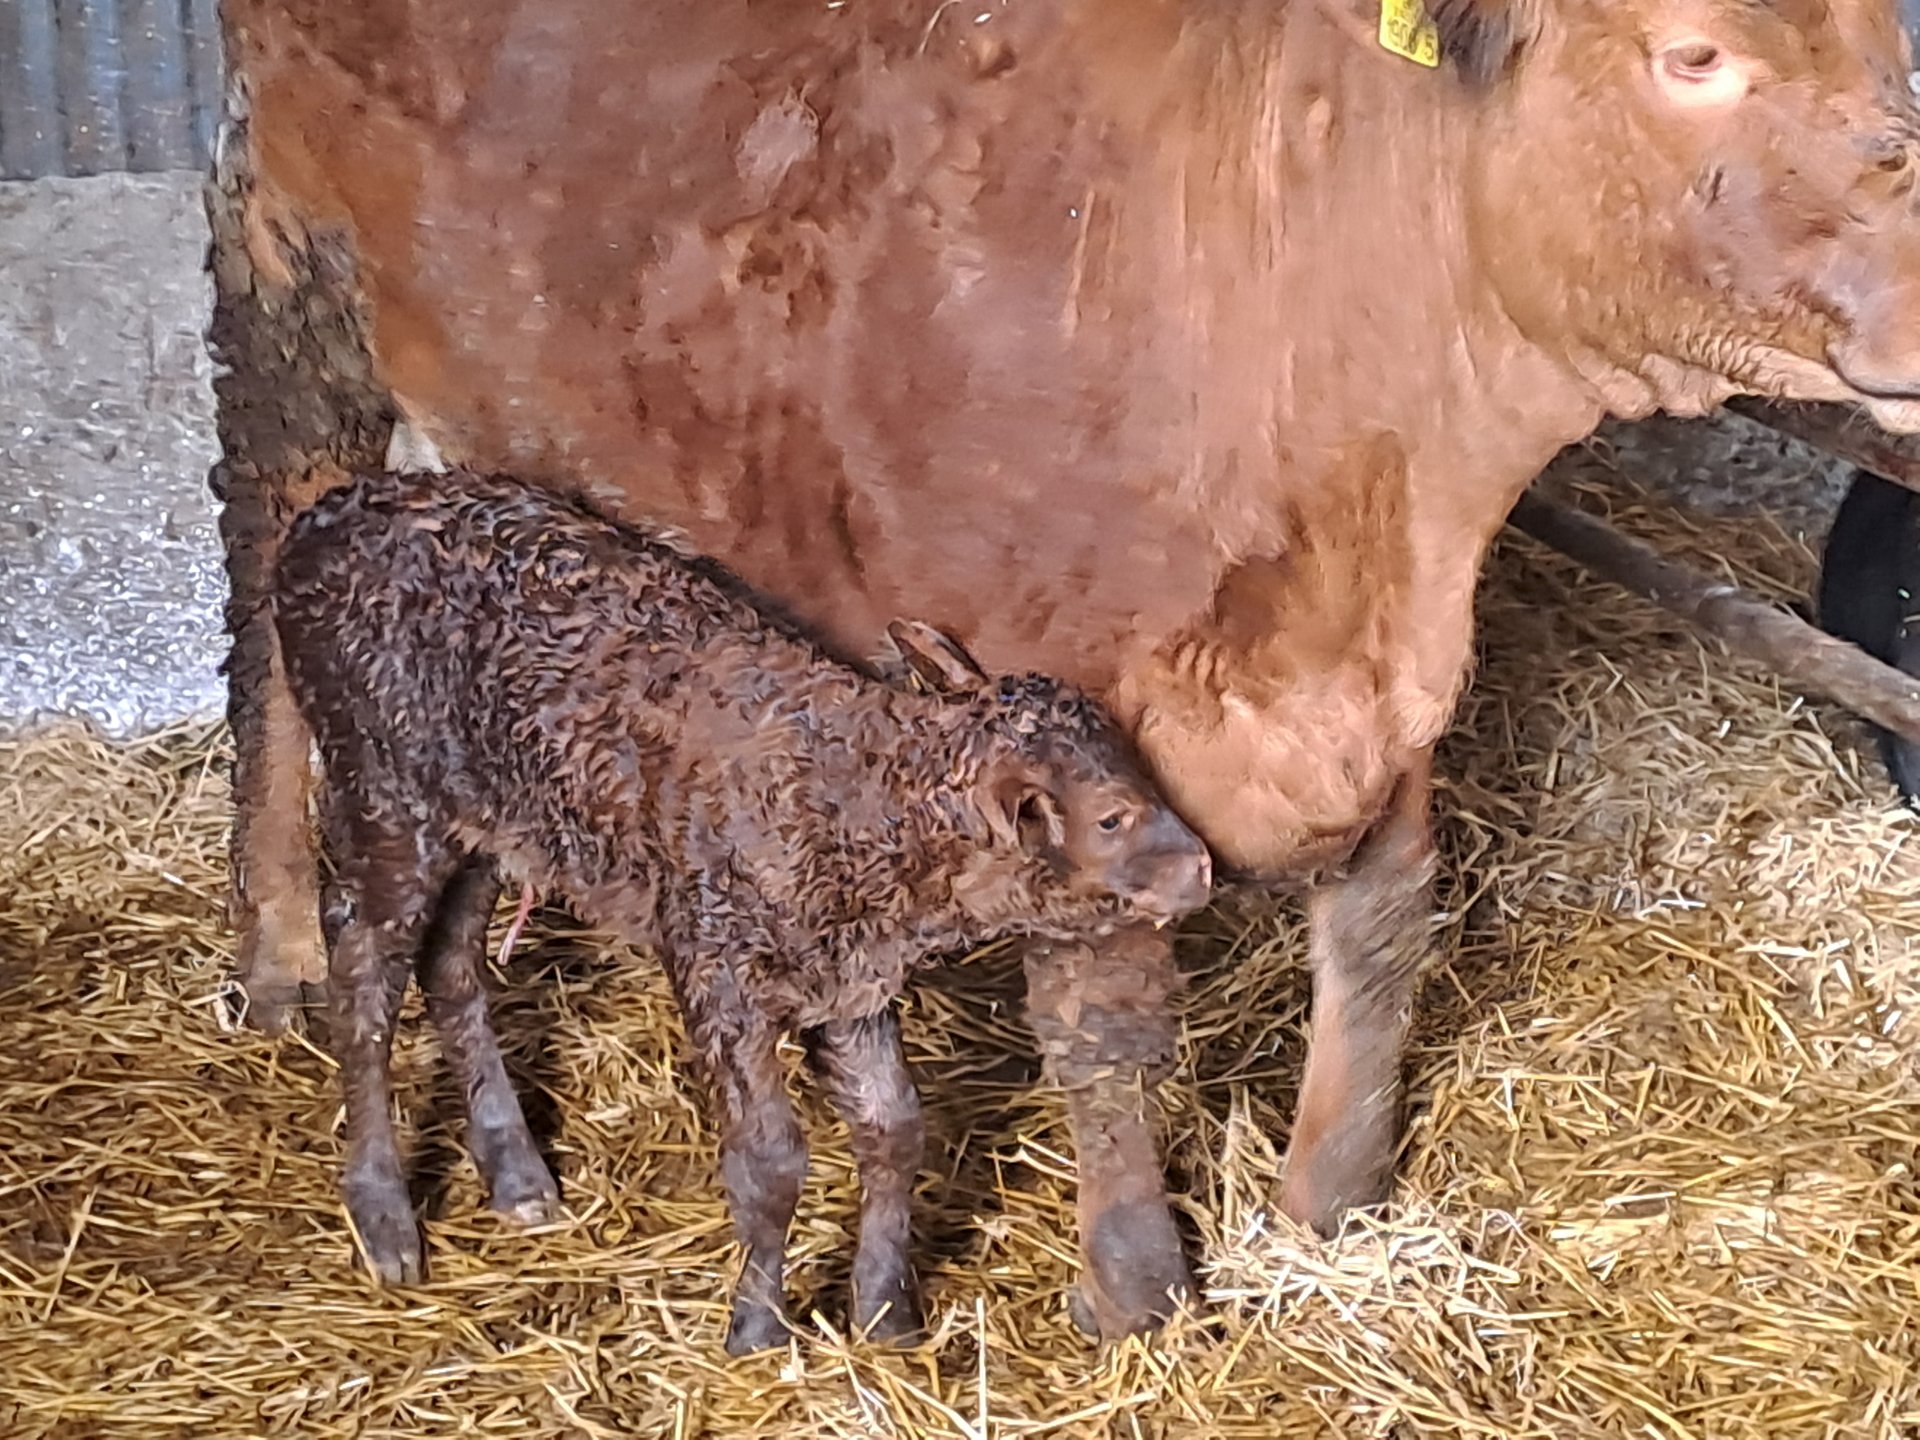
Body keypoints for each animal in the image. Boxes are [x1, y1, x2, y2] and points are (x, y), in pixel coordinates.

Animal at [270, 468, 1213, 1353]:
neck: (853, 798)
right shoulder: (719, 972)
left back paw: (517, 1173)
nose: (1202, 866)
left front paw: (885, 1312)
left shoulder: (852, 984)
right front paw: (758, 1327)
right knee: (364, 968)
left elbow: (894, 1128)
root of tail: (329, 515)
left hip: (490, 821)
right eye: (1110, 818)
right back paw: (384, 1215)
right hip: (385, 794)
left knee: (452, 958)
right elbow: (771, 1160)